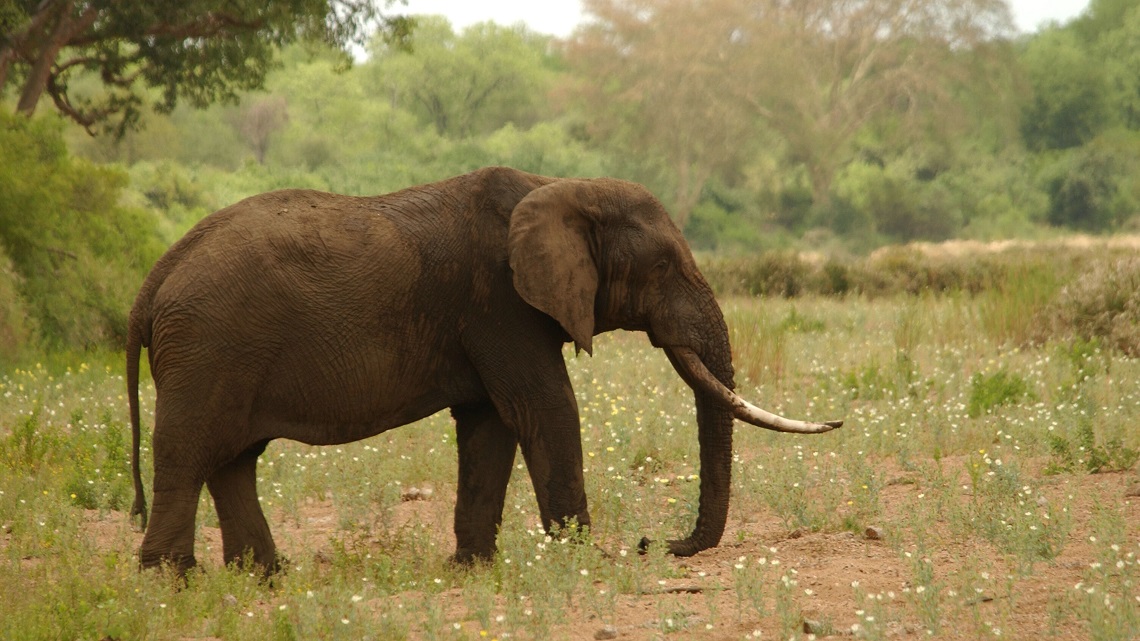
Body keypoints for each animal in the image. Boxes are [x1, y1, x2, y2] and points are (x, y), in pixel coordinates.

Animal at [126, 166, 841, 574]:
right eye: (663, 265)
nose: (657, 543)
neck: (561, 190)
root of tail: (153, 279)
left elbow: (490, 425)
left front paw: (472, 567)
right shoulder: (499, 301)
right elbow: (546, 408)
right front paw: (587, 562)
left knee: (233, 460)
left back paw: (265, 576)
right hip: (208, 347)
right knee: (189, 453)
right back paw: (171, 581)